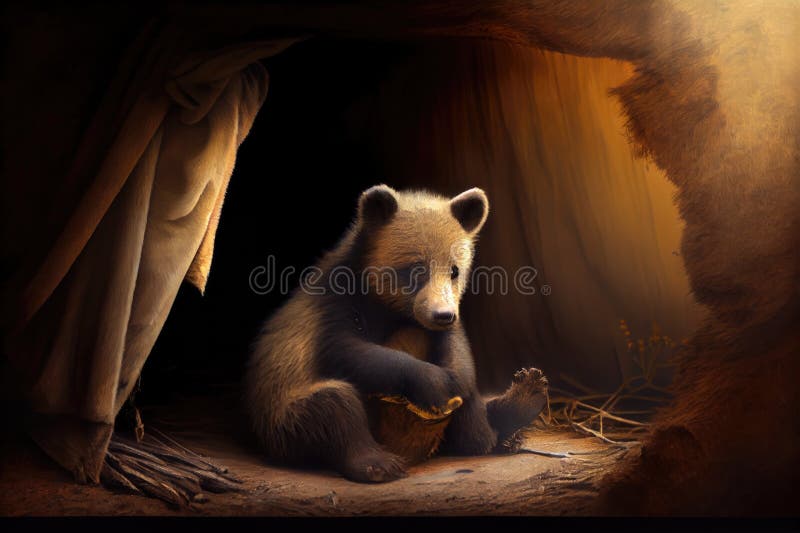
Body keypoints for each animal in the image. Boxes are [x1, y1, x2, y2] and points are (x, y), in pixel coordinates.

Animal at [244, 185, 548, 482]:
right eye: (415, 269)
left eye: (454, 270)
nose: (443, 315)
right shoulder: (331, 304)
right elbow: (348, 349)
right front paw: (434, 384)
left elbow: (456, 353)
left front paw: (458, 385)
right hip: (282, 412)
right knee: (332, 408)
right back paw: (379, 464)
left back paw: (519, 403)